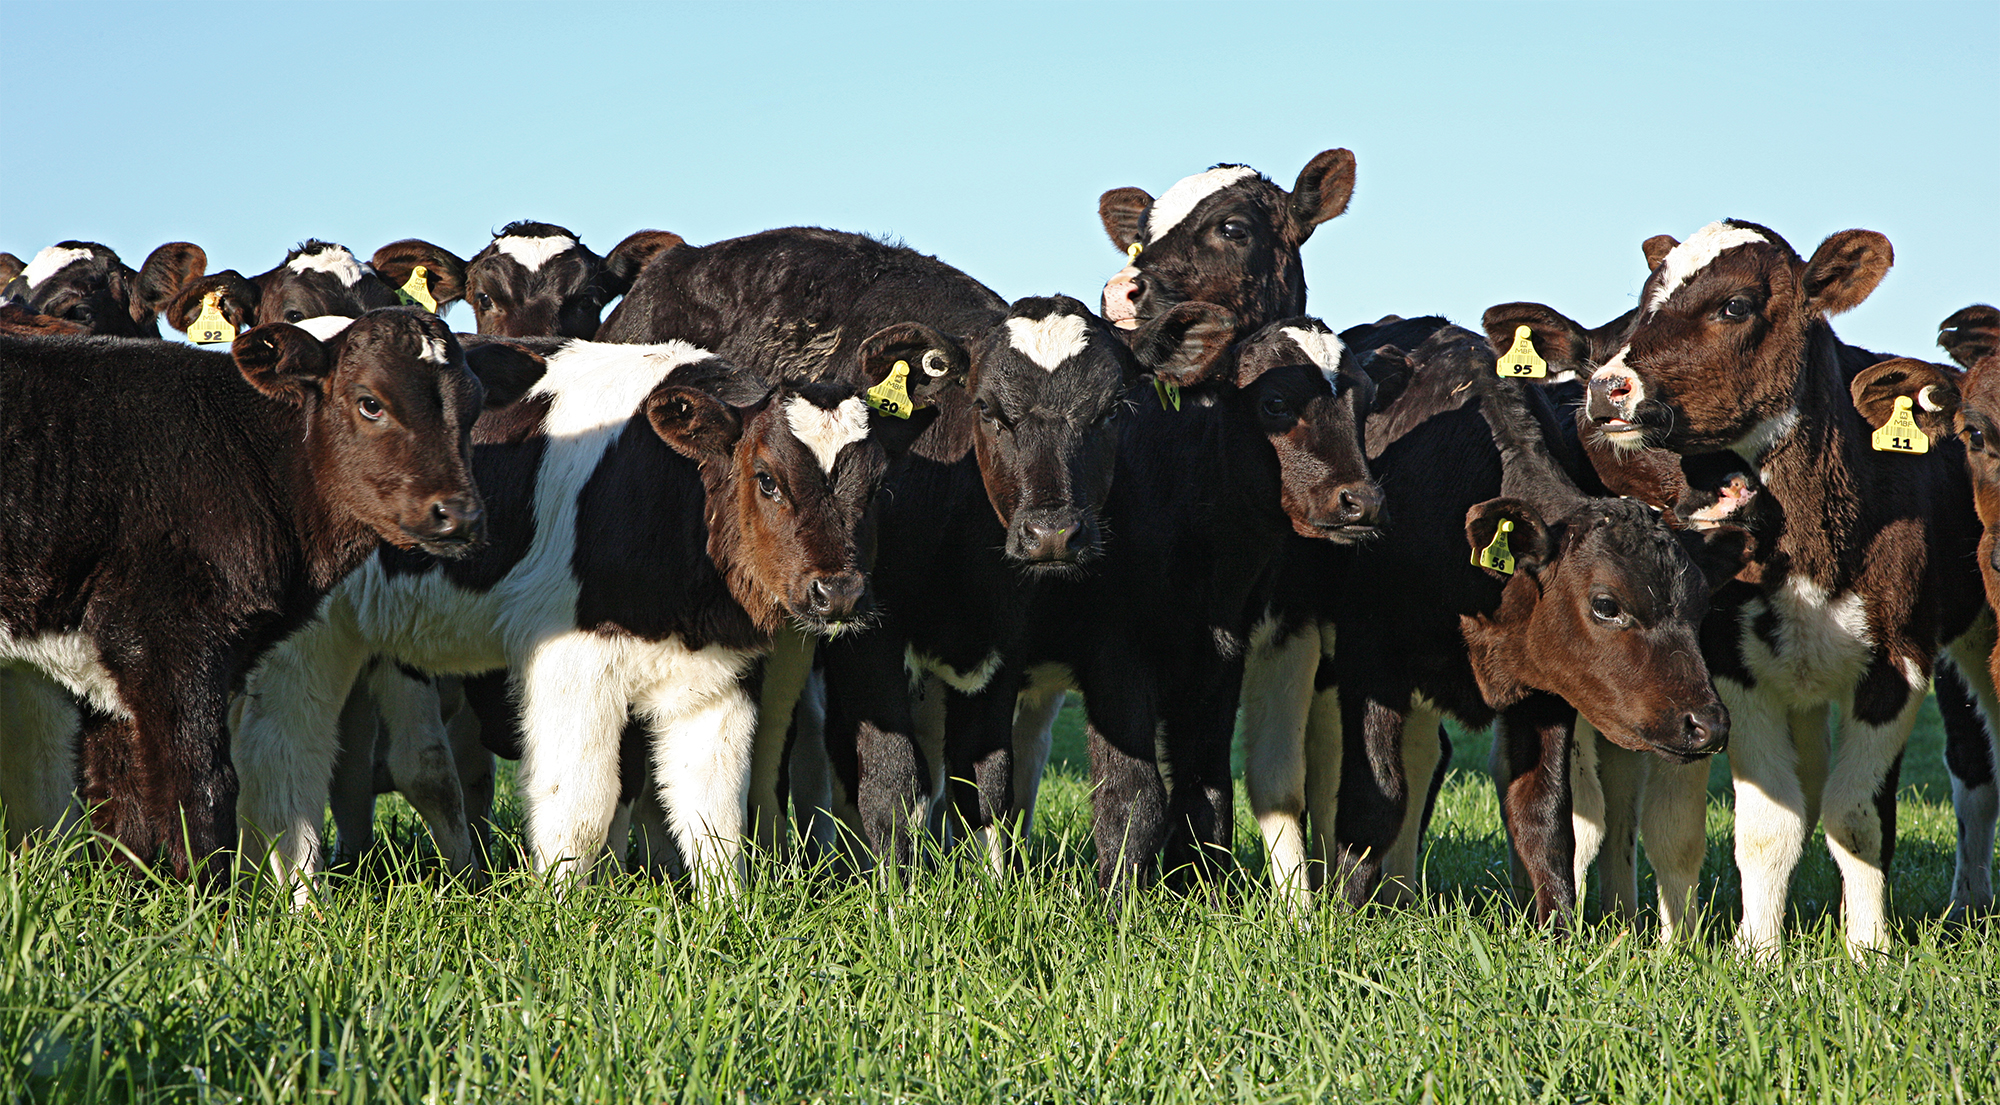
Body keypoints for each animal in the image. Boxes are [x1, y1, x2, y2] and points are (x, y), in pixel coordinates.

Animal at [0, 309, 537, 877]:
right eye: (370, 402)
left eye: (474, 409)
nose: (460, 515)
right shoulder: (166, 639)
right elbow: (202, 785)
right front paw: (208, 897)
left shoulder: (113, 672)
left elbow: (123, 802)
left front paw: (138, 889)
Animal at [230, 328, 962, 898]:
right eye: (768, 481)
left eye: (877, 486)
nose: (838, 593)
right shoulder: (571, 662)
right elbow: (579, 805)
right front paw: (560, 916)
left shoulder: (715, 674)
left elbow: (713, 813)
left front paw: (728, 918)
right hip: (306, 642)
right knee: (285, 762)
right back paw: (302, 896)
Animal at [1574, 219, 1990, 955]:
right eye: (1648, 298)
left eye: (1735, 305)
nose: (1606, 388)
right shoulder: (1737, 671)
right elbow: (1771, 826)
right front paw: (1758, 949)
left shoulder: (1899, 664)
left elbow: (1857, 818)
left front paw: (1868, 948)